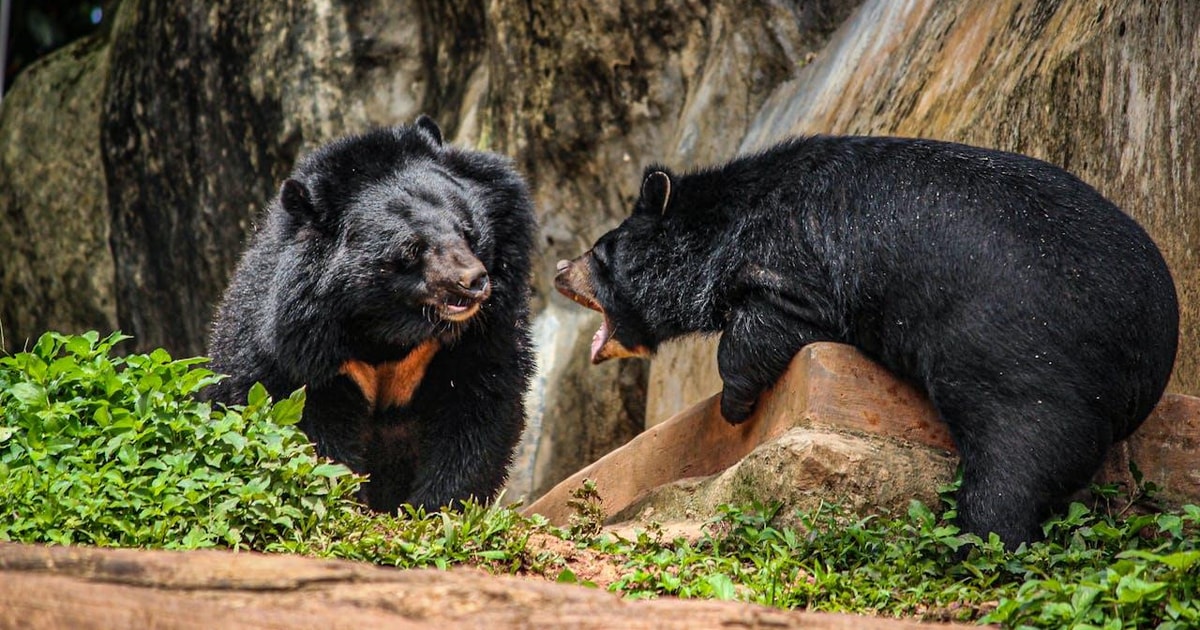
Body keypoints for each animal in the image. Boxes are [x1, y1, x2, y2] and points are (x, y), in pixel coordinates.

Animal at [205, 116, 536, 514]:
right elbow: (307, 426)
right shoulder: (296, 351)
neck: (385, 327)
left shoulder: (478, 334)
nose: (473, 281)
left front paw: (436, 506)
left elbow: (476, 408)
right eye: (412, 249)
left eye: (466, 230)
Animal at [554, 135, 1179, 549]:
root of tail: (1152, 356)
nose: (560, 269)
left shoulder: (797, 264)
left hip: (1033, 363)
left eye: (601, 253)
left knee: (1016, 463)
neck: (727, 225)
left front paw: (734, 405)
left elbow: (762, 329)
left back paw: (977, 544)